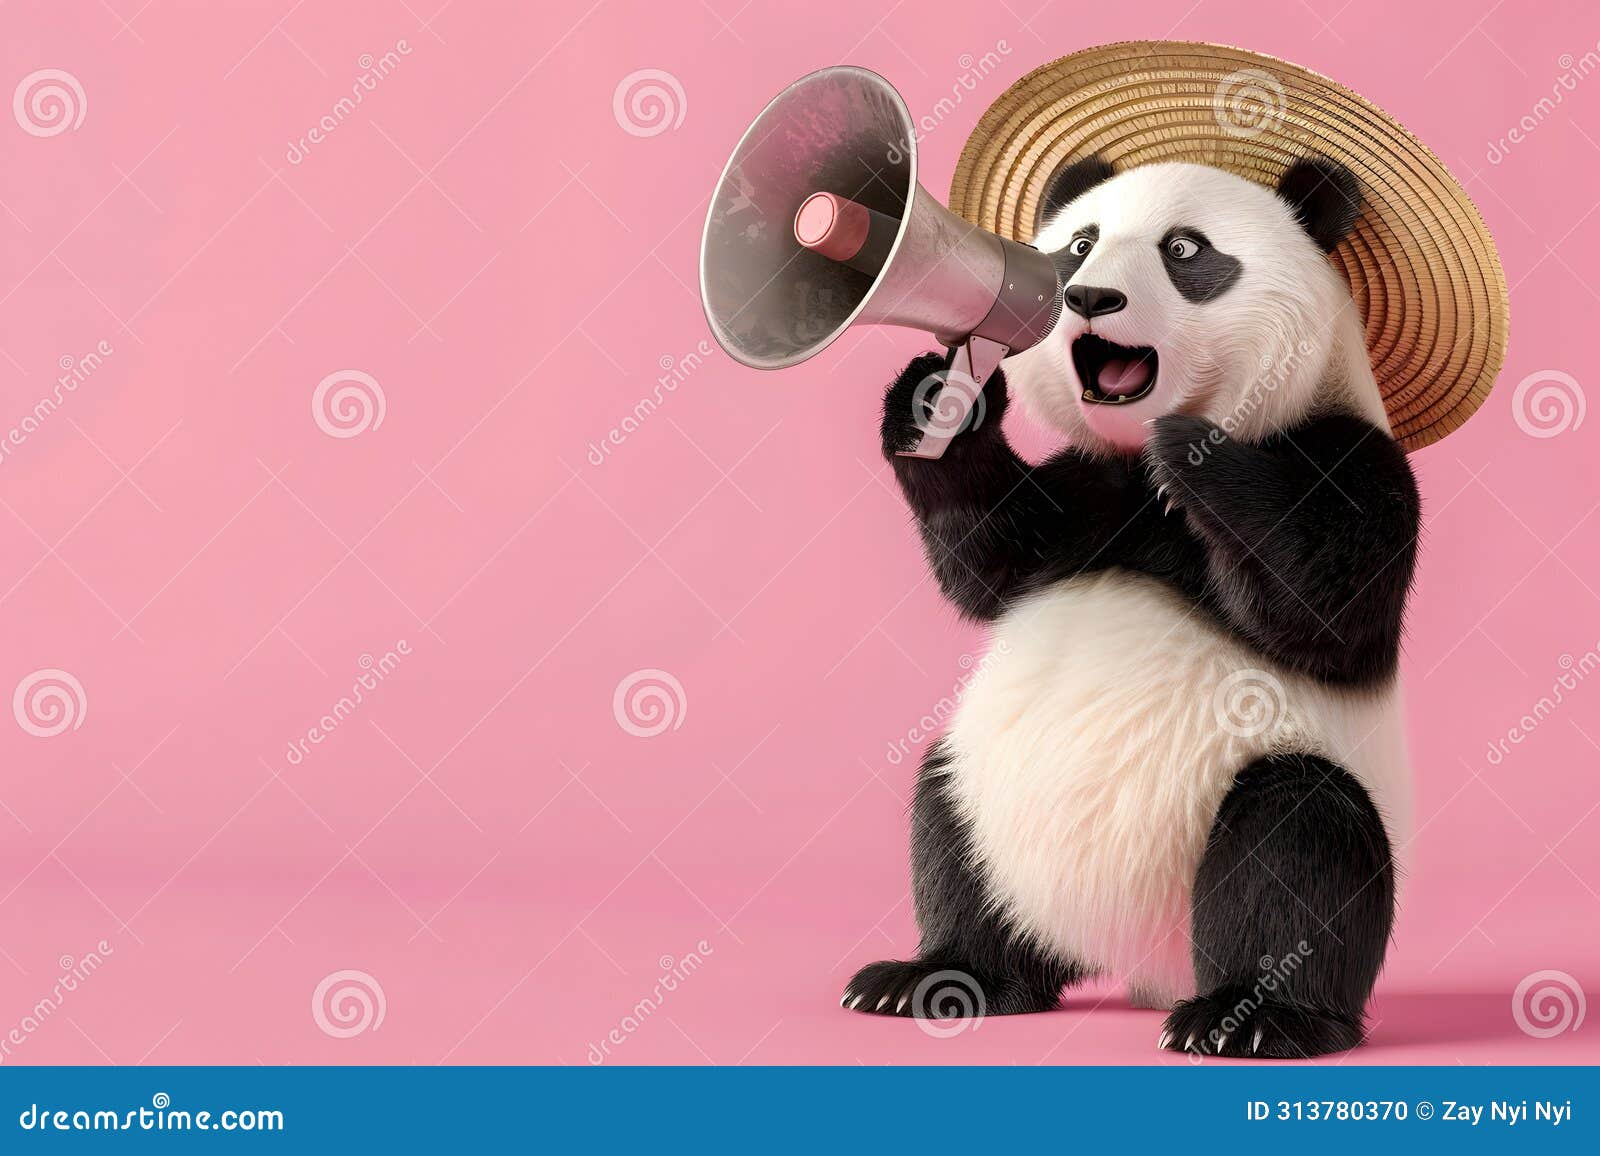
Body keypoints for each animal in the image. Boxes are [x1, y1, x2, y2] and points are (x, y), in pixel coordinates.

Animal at [842, 155, 1421, 1059]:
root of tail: (1143, 966)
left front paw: (1194, 455)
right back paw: (937, 977)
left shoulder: (1349, 451)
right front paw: (934, 400)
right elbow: (989, 561)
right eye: (1081, 243)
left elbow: (1323, 603)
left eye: (1184, 249)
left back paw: (1251, 1017)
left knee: (1299, 847)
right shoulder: (1090, 493)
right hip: (988, 795)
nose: (1086, 297)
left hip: (1269, 802)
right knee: (946, 823)